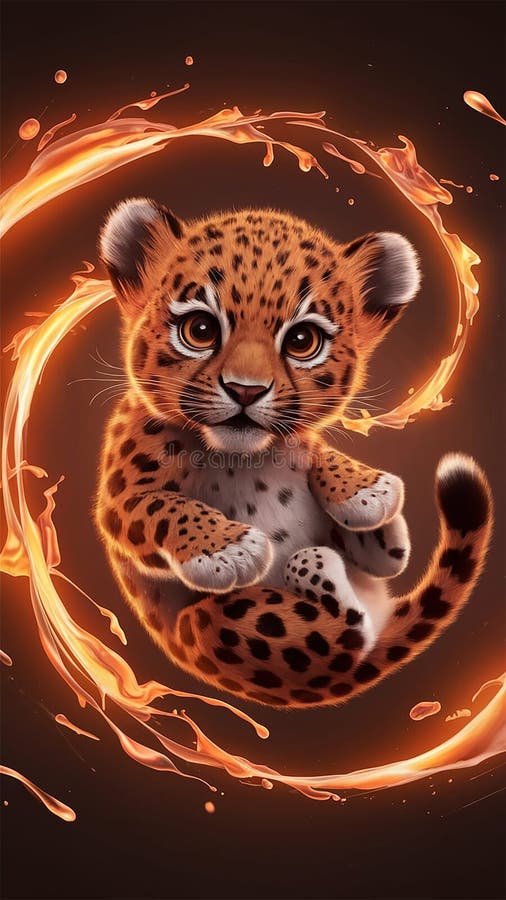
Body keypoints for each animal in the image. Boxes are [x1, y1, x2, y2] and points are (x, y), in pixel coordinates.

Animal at [95, 198, 493, 708]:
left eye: (303, 340)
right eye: (199, 329)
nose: (246, 391)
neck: (245, 460)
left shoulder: (301, 448)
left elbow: (314, 449)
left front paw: (364, 492)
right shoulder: (119, 500)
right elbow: (164, 505)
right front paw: (227, 549)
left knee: (380, 574)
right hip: (207, 625)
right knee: (348, 636)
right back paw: (315, 565)